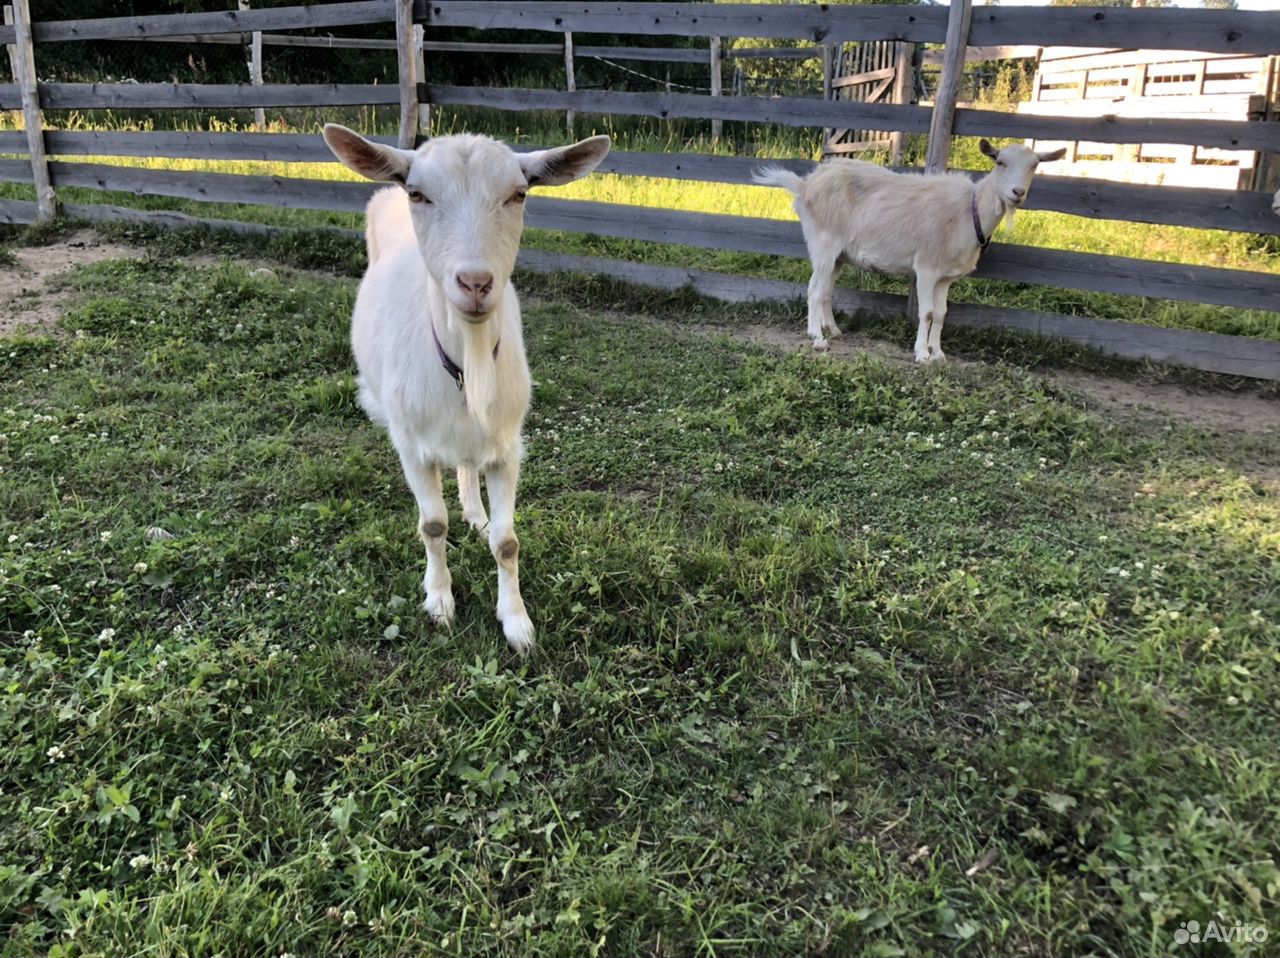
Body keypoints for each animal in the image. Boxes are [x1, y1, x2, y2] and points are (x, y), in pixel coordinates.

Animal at [323, 125, 611, 654]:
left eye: (519, 194)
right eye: (418, 194)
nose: (475, 283)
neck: (467, 361)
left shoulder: (508, 445)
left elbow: (507, 541)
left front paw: (517, 622)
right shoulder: (412, 446)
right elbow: (432, 524)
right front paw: (439, 602)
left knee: (465, 467)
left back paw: (476, 516)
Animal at [754, 139, 1066, 362]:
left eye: (1034, 165)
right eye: (1000, 162)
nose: (1017, 193)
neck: (970, 212)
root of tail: (805, 185)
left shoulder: (946, 277)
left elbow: (941, 313)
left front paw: (938, 354)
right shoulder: (927, 269)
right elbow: (926, 312)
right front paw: (922, 354)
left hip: (839, 255)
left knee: (825, 290)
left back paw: (834, 329)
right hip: (824, 243)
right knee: (814, 290)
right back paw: (818, 338)